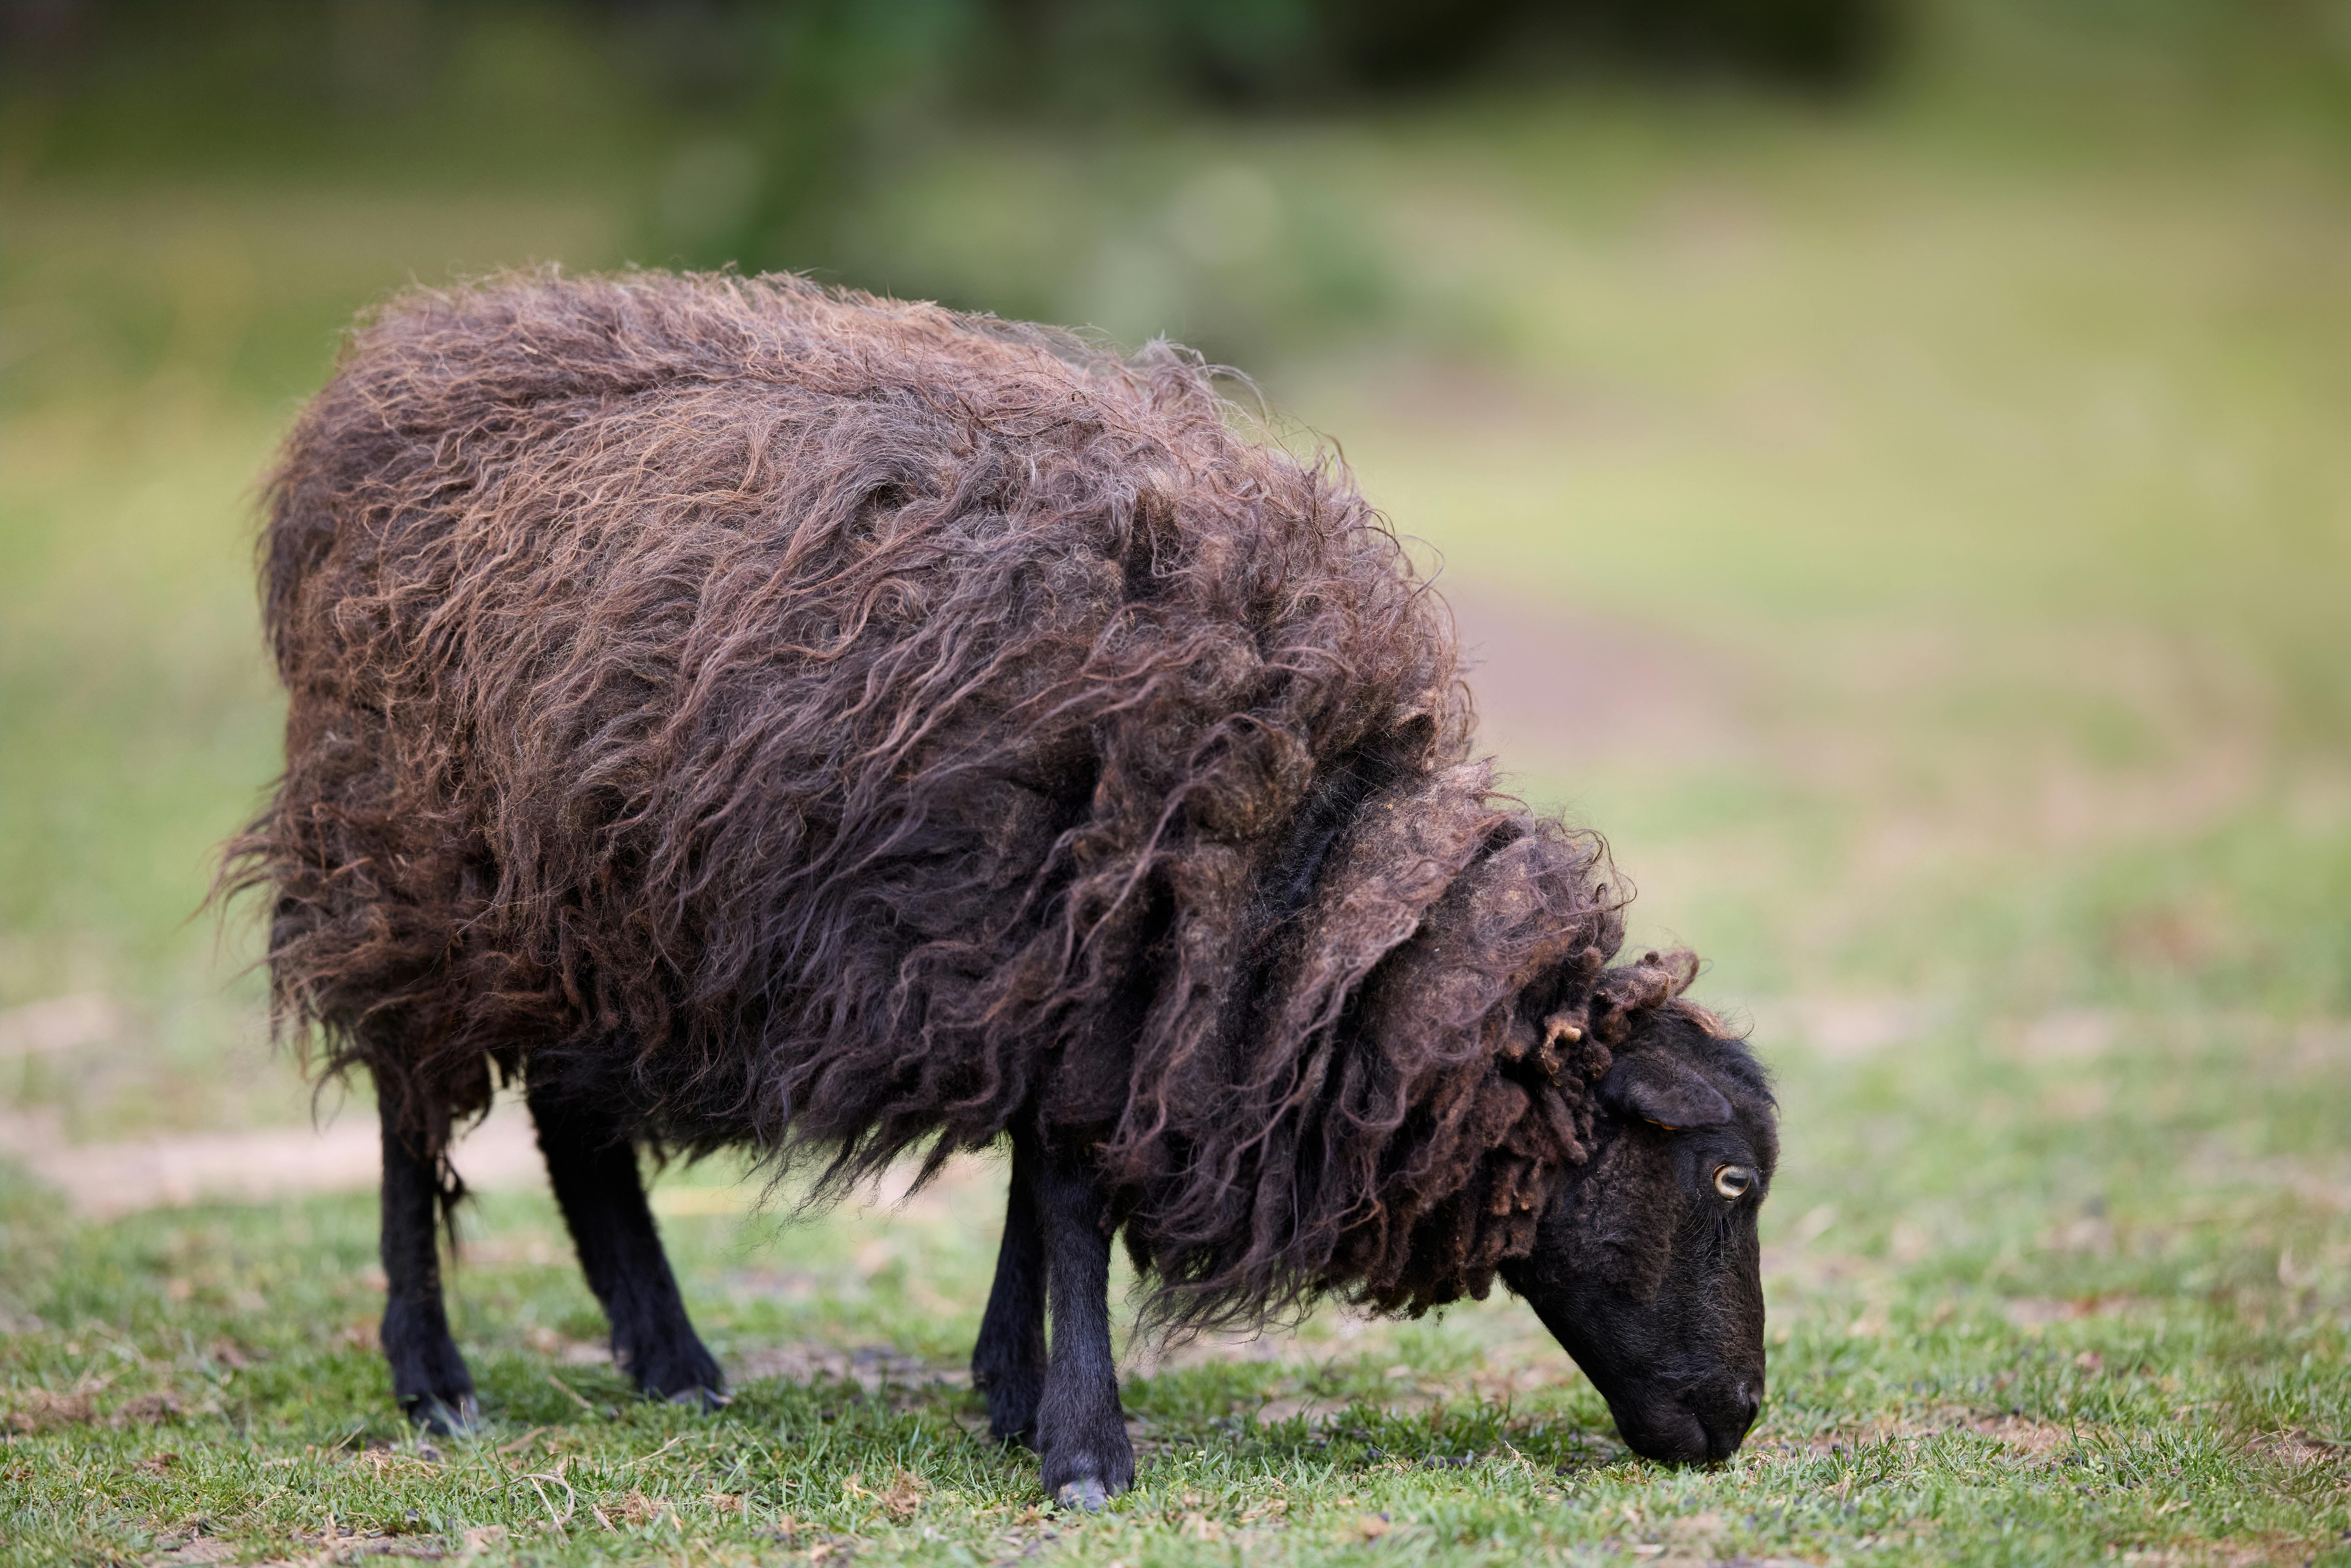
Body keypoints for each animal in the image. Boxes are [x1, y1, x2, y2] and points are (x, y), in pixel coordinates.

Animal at [223, 270, 1777, 1505]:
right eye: (1730, 1175)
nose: (1742, 1417)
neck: (1314, 895)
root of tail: (401, 353)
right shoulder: (1083, 958)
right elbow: (1074, 1201)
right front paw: (1084, 1447)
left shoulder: (1067, 980)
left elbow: (1040, 1192)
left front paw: (1012, 1395)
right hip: (412, 872)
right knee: (407, 1117)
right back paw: (435, 1378)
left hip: (596, 906)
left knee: (567, 1114)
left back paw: (672, 1360)